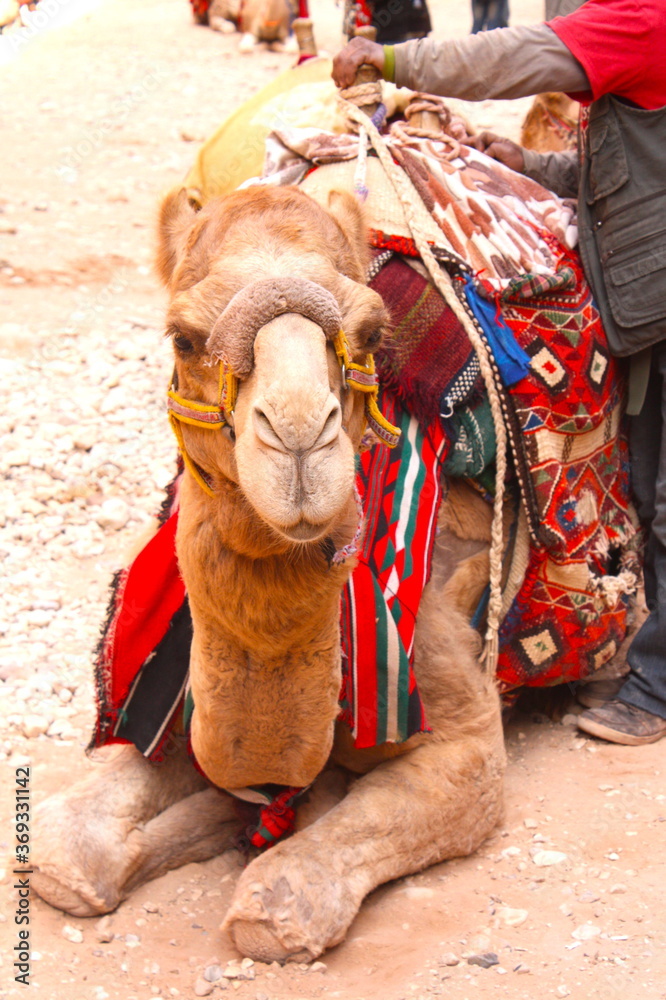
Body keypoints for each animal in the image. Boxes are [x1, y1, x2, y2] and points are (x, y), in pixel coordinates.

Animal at [30, 182, 506, 963]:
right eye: (183, 337)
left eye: (370, 333)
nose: (299, 436)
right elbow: (58, 849)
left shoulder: (468, 744)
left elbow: (285, 895)